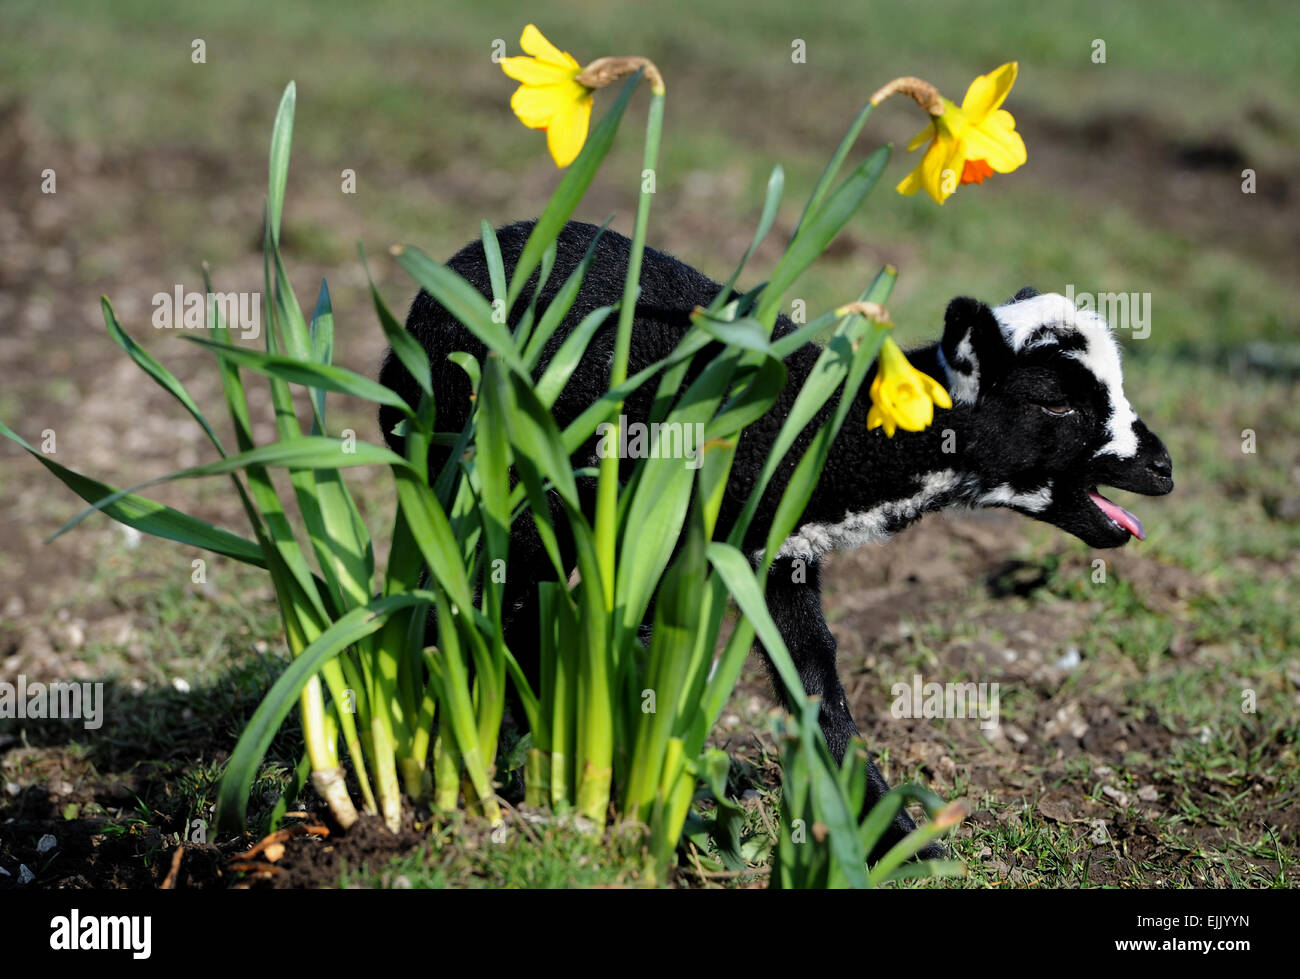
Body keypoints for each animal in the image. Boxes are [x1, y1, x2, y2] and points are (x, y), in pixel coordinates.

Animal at [378, 219, 1174, 859]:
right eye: (1056, 402)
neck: (817, 428)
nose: (1163, 466)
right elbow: (610, 646)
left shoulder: (778, 557)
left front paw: (891, 840)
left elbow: (813, 675)